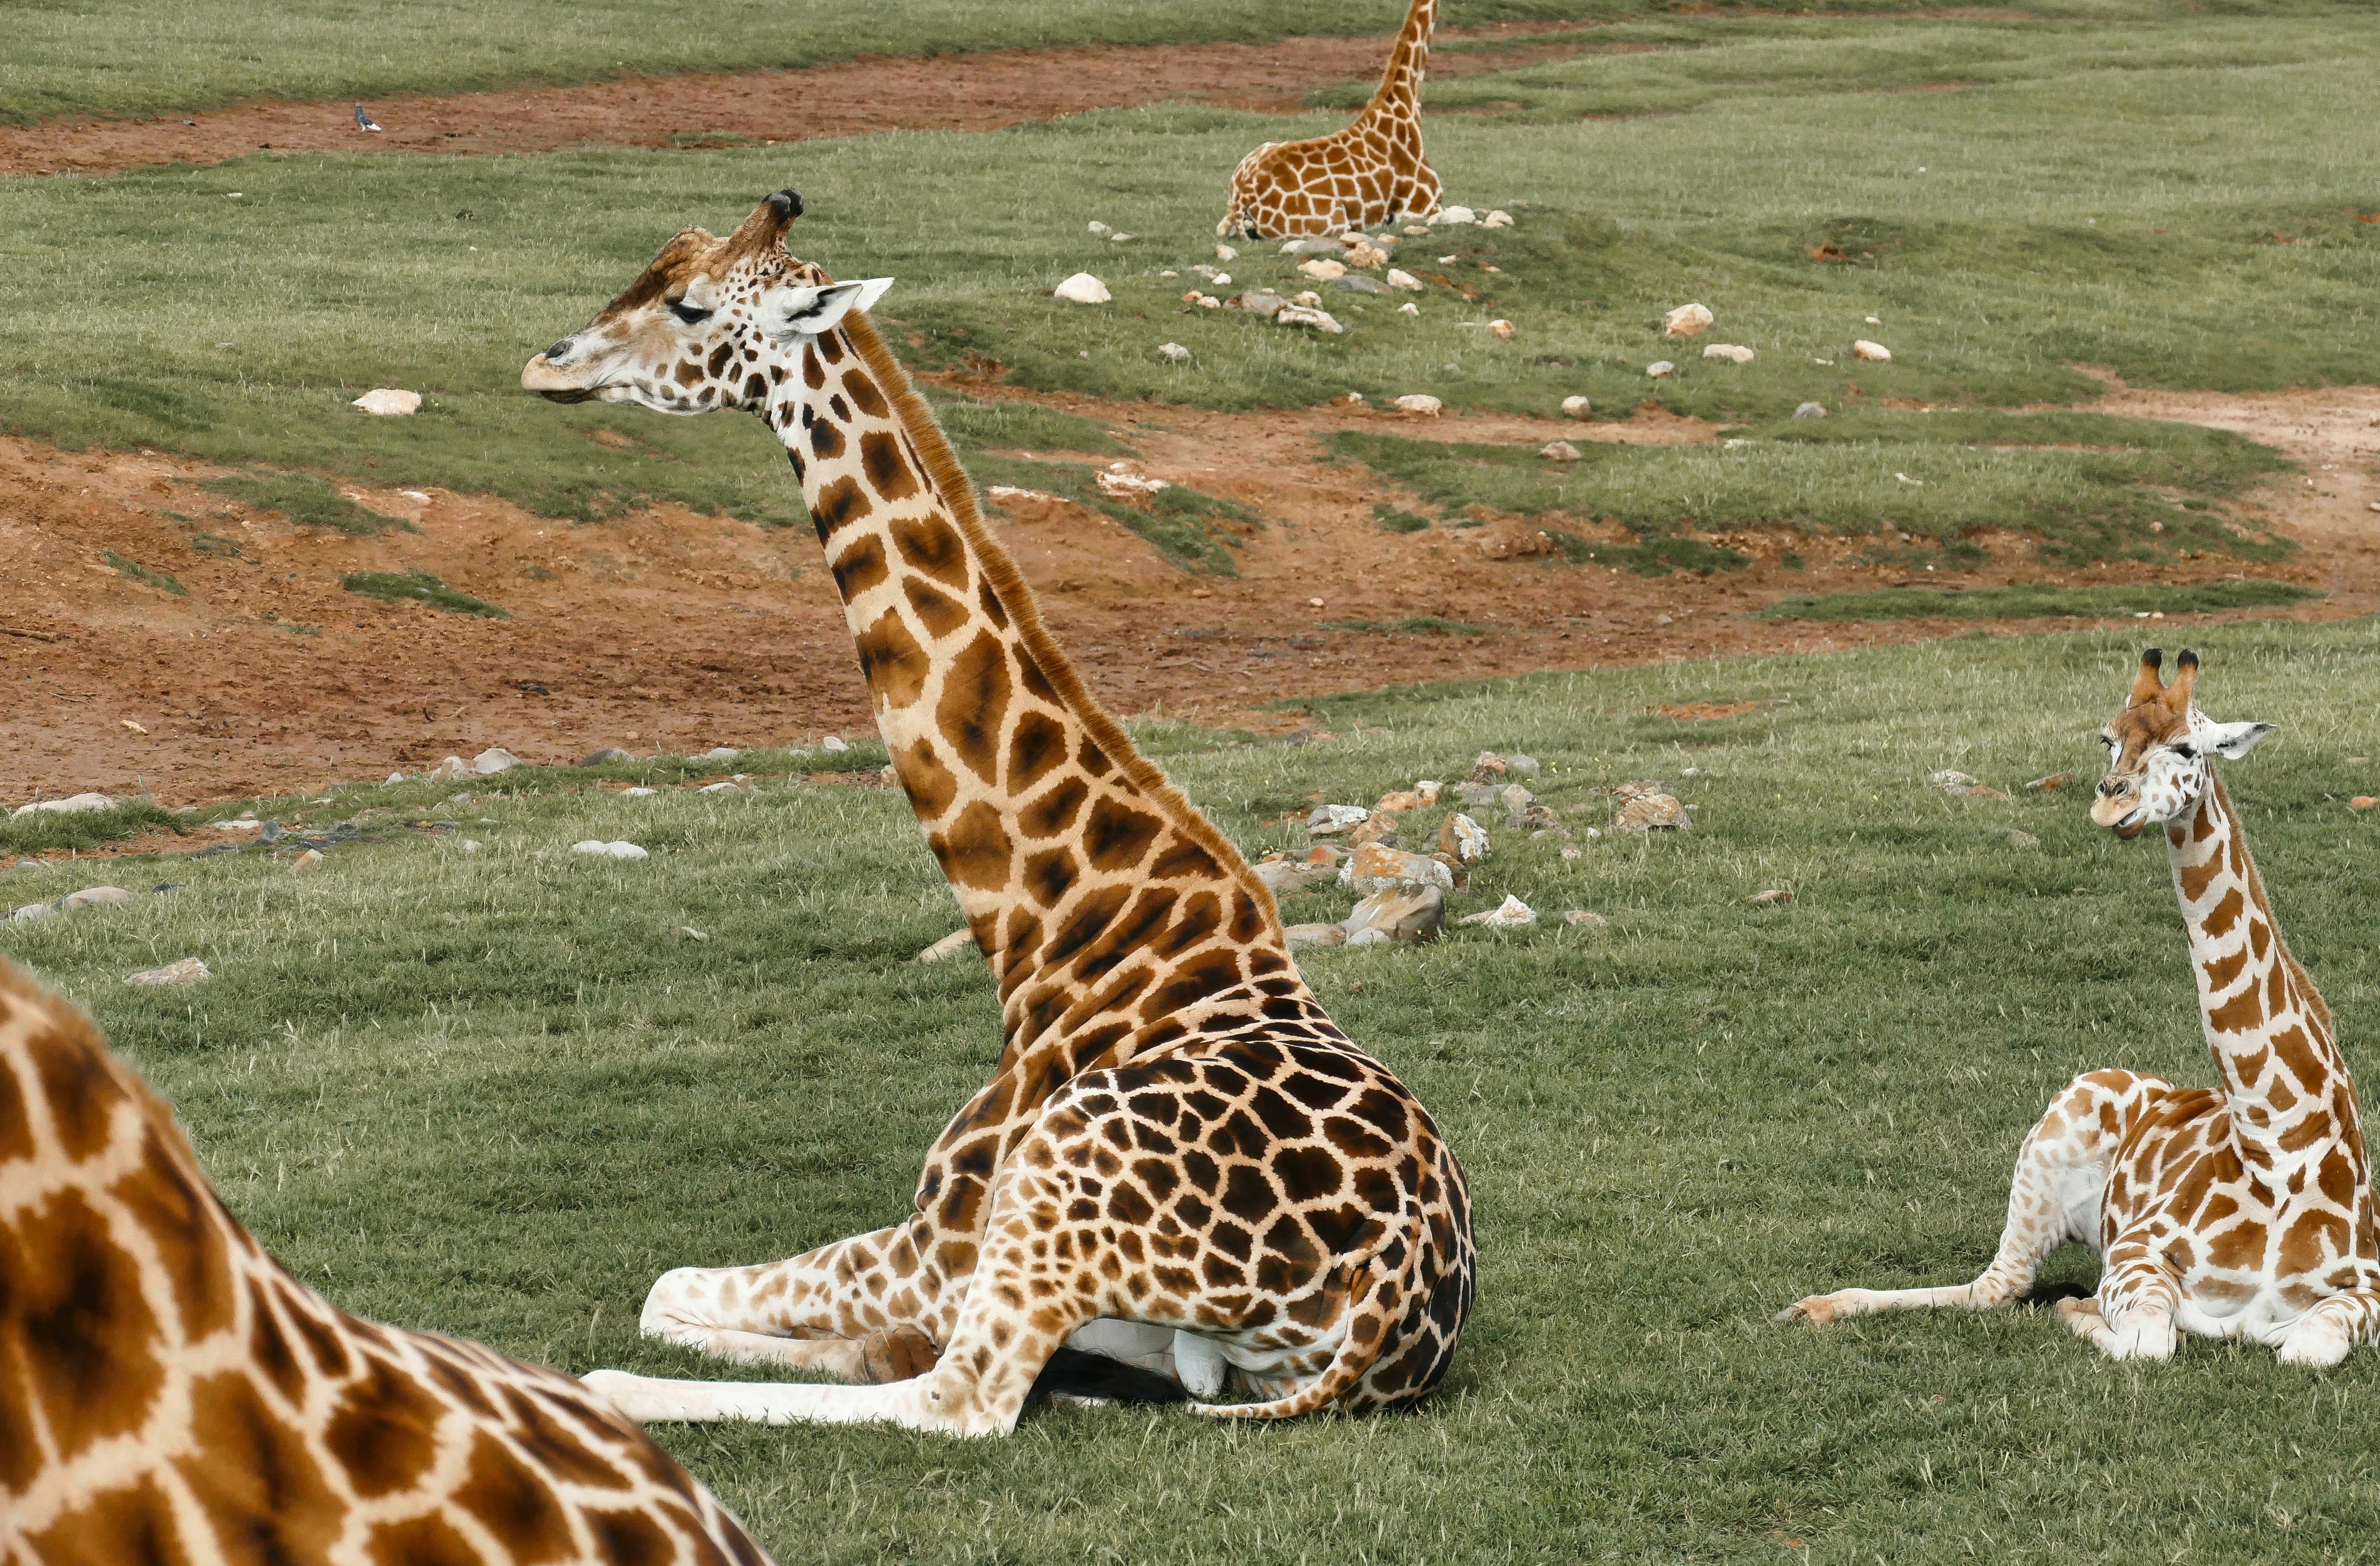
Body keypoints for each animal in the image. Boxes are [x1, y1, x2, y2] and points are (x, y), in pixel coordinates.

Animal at [518, 191, 1475, 1437]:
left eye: (686, 304)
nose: (545, 365)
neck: (1045, 928)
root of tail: (1388, 1313)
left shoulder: (941, 1241)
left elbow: (665, 1287)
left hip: (1054, 1199)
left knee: (957, 1397)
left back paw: (610, 1392)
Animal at [1780, 648, 2380, 1364]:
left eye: (2187, 746)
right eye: (2108, 737)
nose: (2108, 802)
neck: (2277, 1137)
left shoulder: (2367, 1288)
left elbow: (2304, 1344)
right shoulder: (2134, 1253)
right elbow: (2149, 1339)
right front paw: (2082, 1307)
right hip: (2047, 1149)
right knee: (1995, 1286)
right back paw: (1812, 1305)